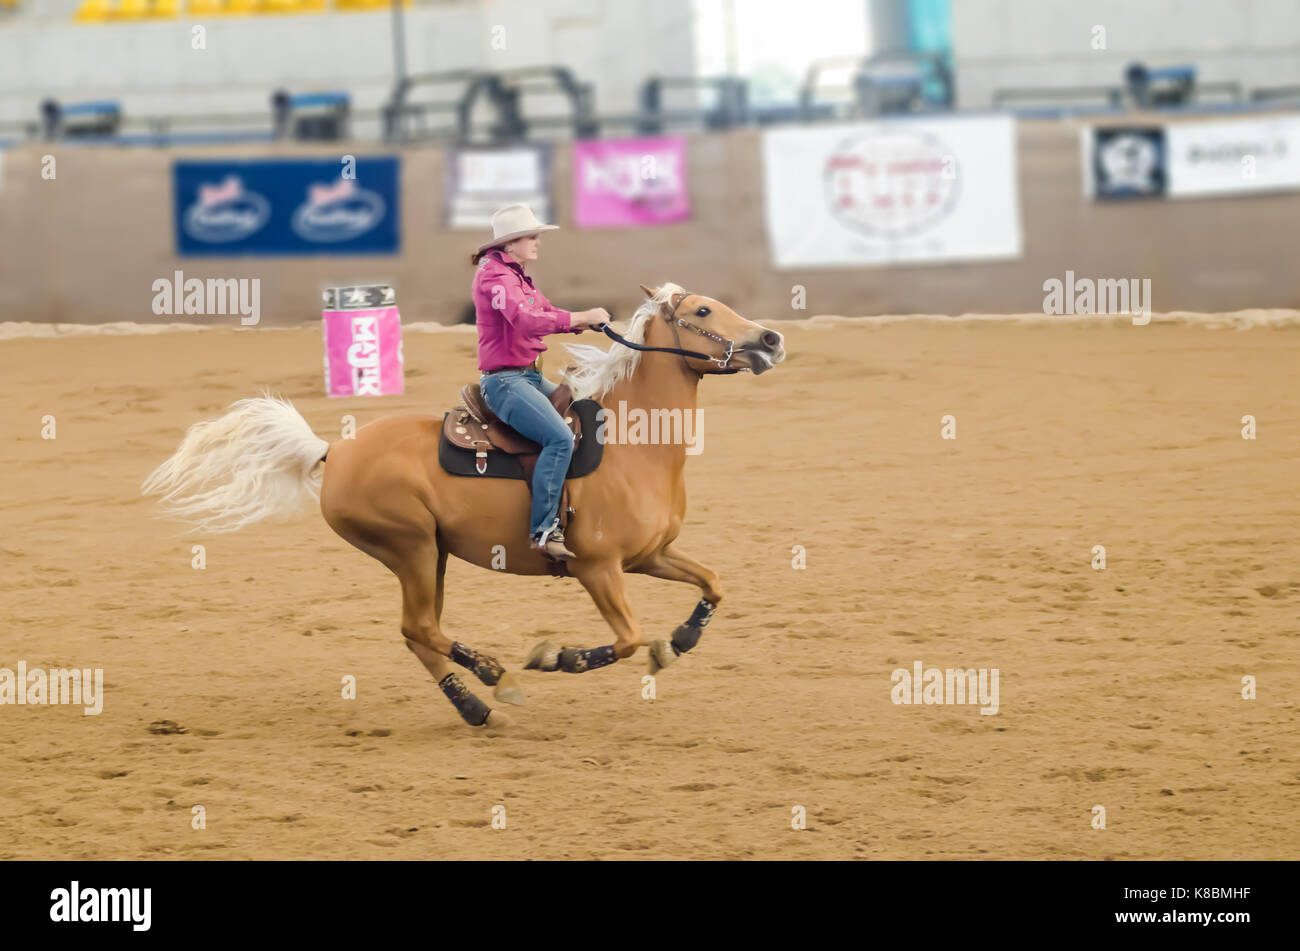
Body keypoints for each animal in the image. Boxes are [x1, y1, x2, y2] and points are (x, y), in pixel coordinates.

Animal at [141, 282, 786, 727]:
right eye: (702, 312)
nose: (771, 339)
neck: (633, 444)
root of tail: (333, 450)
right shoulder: (598, 568)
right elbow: (626, 638)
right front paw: (556, 659)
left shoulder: (649, 556)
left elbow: (713, 583)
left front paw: (679, 641)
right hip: (411, 548)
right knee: (419, 626)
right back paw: (495, 677)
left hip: (433, 555)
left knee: (416, 634)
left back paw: (479, 706)